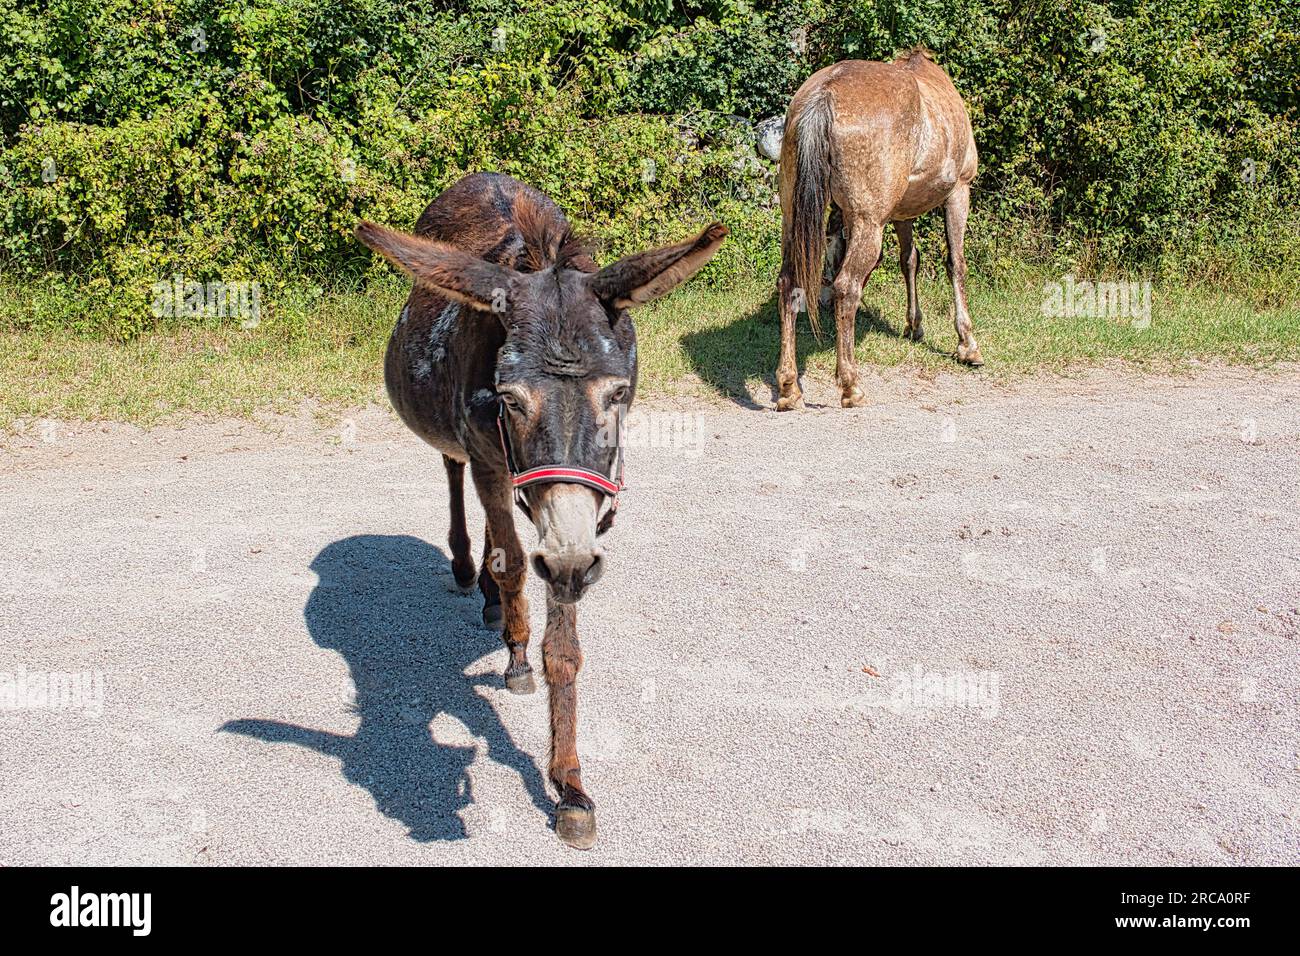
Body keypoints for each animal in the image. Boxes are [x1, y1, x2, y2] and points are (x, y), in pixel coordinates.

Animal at [354, 172, 726, 848]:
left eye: (618, 394)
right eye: (510, 400)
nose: (575, 562)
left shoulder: (571, 530)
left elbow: (566, 643)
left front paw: (570, 786)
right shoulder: (495, 463)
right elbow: (514, 561)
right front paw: (518, 652)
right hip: (462, 450)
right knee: (457, 480)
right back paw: (469, 574)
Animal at [776, 48, 983, 411]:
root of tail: (823, 95)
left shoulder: (901, 213)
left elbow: (909, 260)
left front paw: (914, 325)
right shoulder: (960, 190)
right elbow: (956, 264)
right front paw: (967, 344)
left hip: (793, 216)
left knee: (789, 283)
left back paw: (789, 387)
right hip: (868, 222)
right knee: (847, 288)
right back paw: (850, 385)